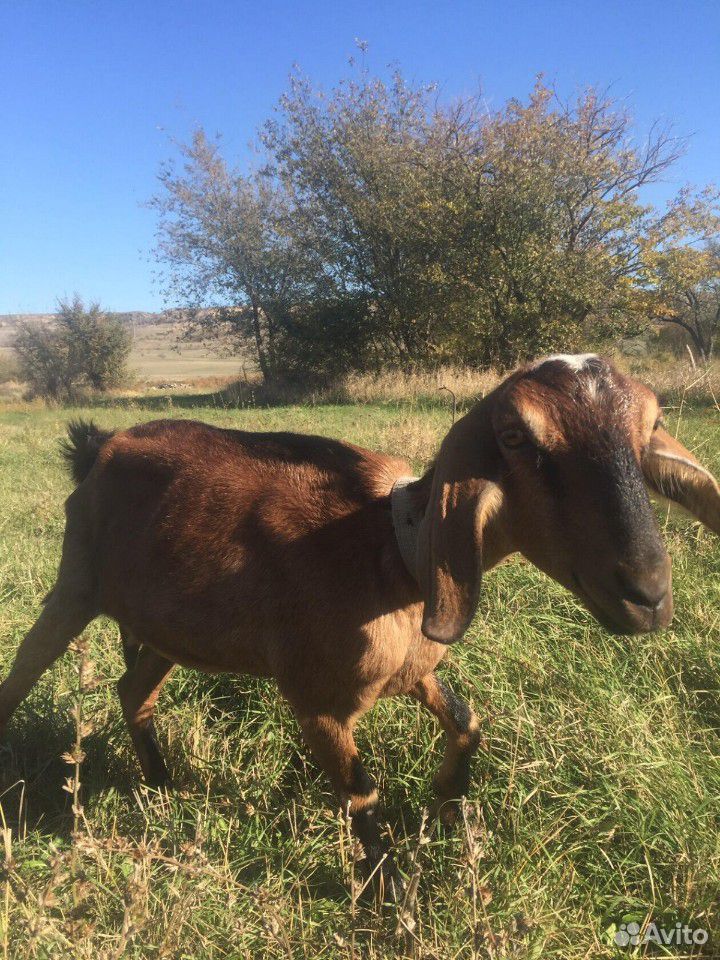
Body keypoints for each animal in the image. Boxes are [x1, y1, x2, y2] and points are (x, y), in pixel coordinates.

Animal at [1, 354, 718, 893]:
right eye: (516, 436)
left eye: (652, 423)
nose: (648, 593)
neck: (392, 556)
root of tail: (98, 445)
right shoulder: (315, 701)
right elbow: (361, 798)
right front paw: (390, 895)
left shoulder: (416, 669)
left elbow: (467, 723)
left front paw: (446, 803)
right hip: (75, 585)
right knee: (21, 676)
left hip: (169, 626)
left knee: (133, 689)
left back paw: (162, 785)